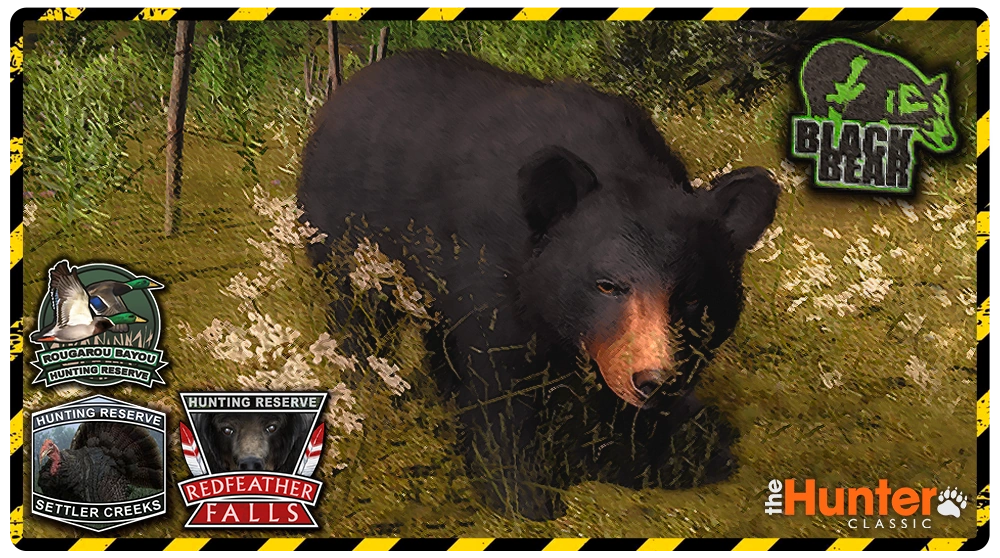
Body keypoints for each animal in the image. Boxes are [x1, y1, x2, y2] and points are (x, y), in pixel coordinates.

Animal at [298, 49, 780, 520]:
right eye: (607, 285)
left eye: (690, 297)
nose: (654, 380)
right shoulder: (491, 270)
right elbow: (501, 388)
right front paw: (523, 500)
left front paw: (650, 459)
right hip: (348, 236)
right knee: (359, 318)